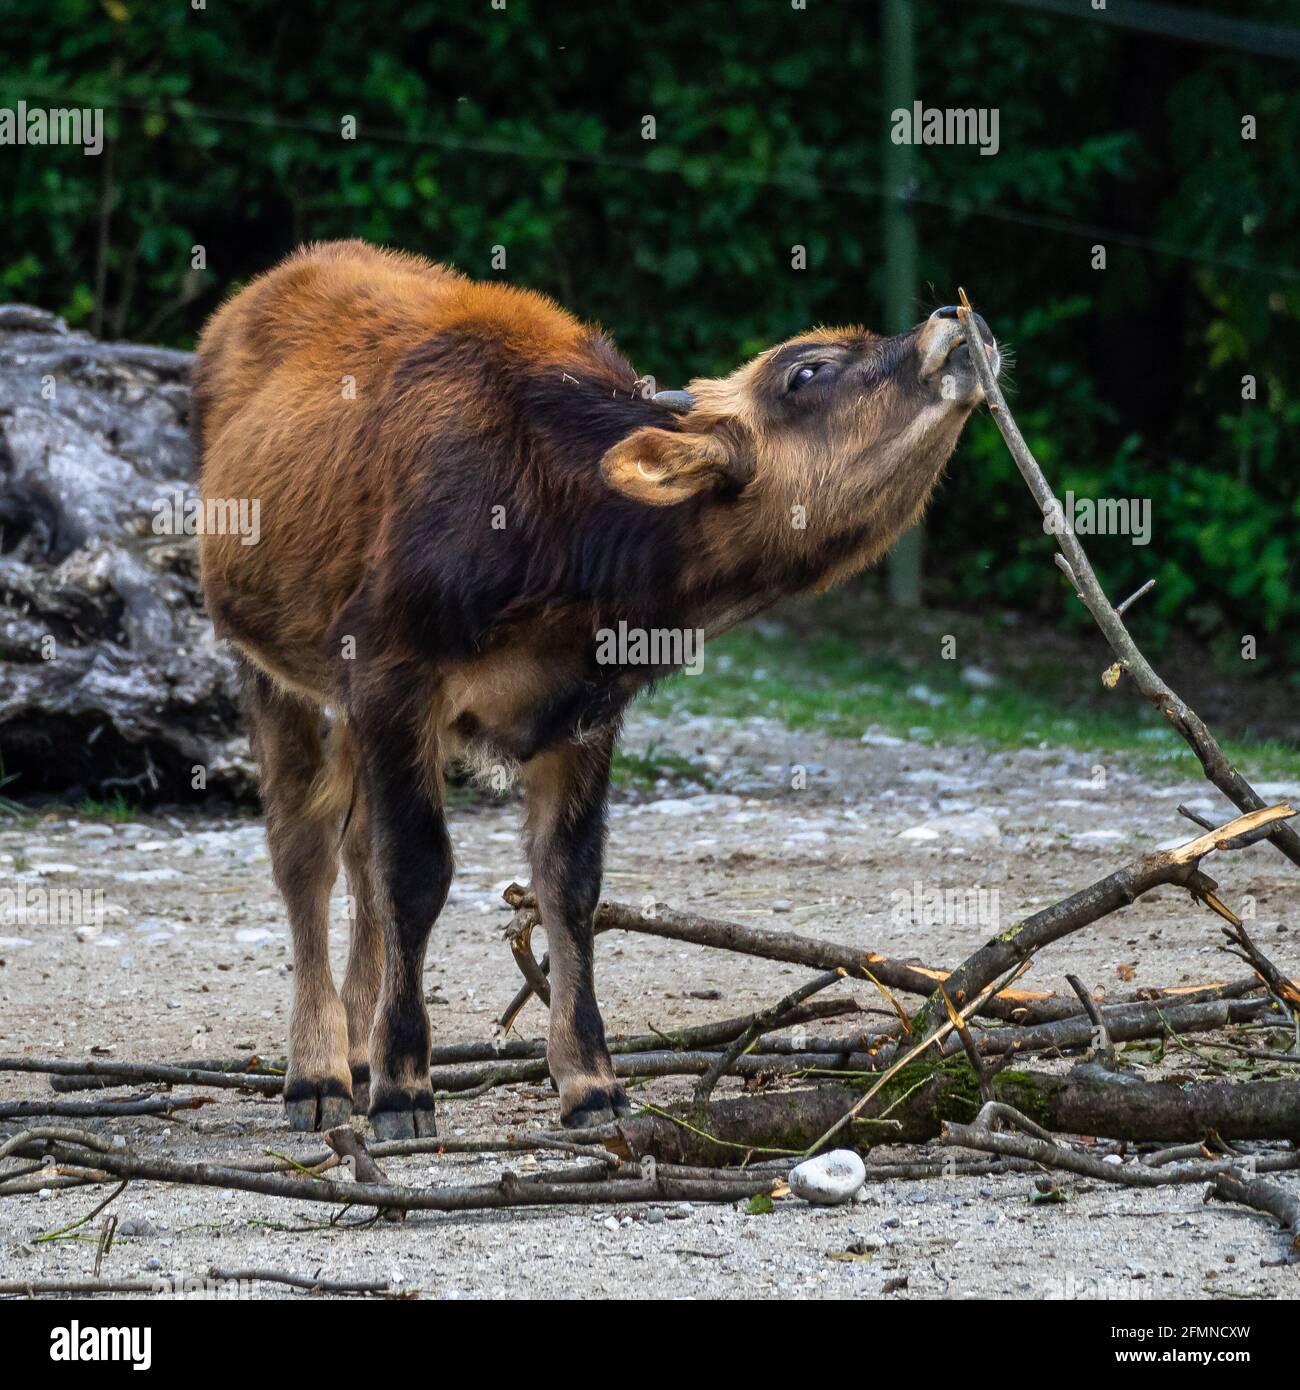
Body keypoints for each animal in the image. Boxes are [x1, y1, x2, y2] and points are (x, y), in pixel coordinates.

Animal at [193, 239, 999, 1137]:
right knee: (306, 852)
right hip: (270, 667)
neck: (559, 522)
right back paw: (321, 1075)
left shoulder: (584, 713)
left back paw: (357, 1053)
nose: (953, 316)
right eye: (807, 369)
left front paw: (589, 1081)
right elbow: (417, 872)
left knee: (359, 850)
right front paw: (405, 1087)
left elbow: (568, 884)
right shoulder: (393, 676)